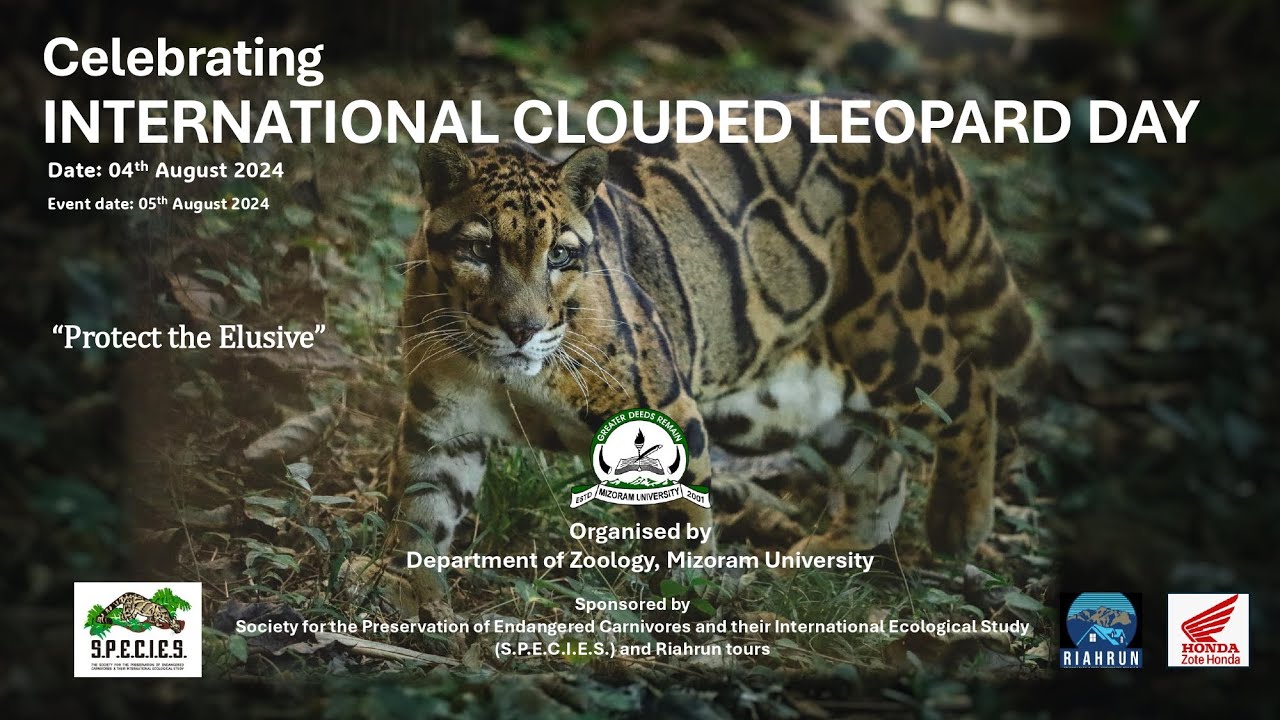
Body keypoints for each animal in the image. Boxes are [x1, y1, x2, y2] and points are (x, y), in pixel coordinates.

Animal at [345, 97, 1044, 617]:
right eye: (479, 251)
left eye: (561, 256)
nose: (523, 328)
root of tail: (909, 127)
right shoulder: (444, 423)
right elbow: (422, 509)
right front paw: (402, 585)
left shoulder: (665, 406)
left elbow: (680, 523)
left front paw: (684, 605)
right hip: (778, 400)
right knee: (882, 464)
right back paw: (816, 559)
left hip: (890, 337)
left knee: (973, 392)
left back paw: (959, 524)